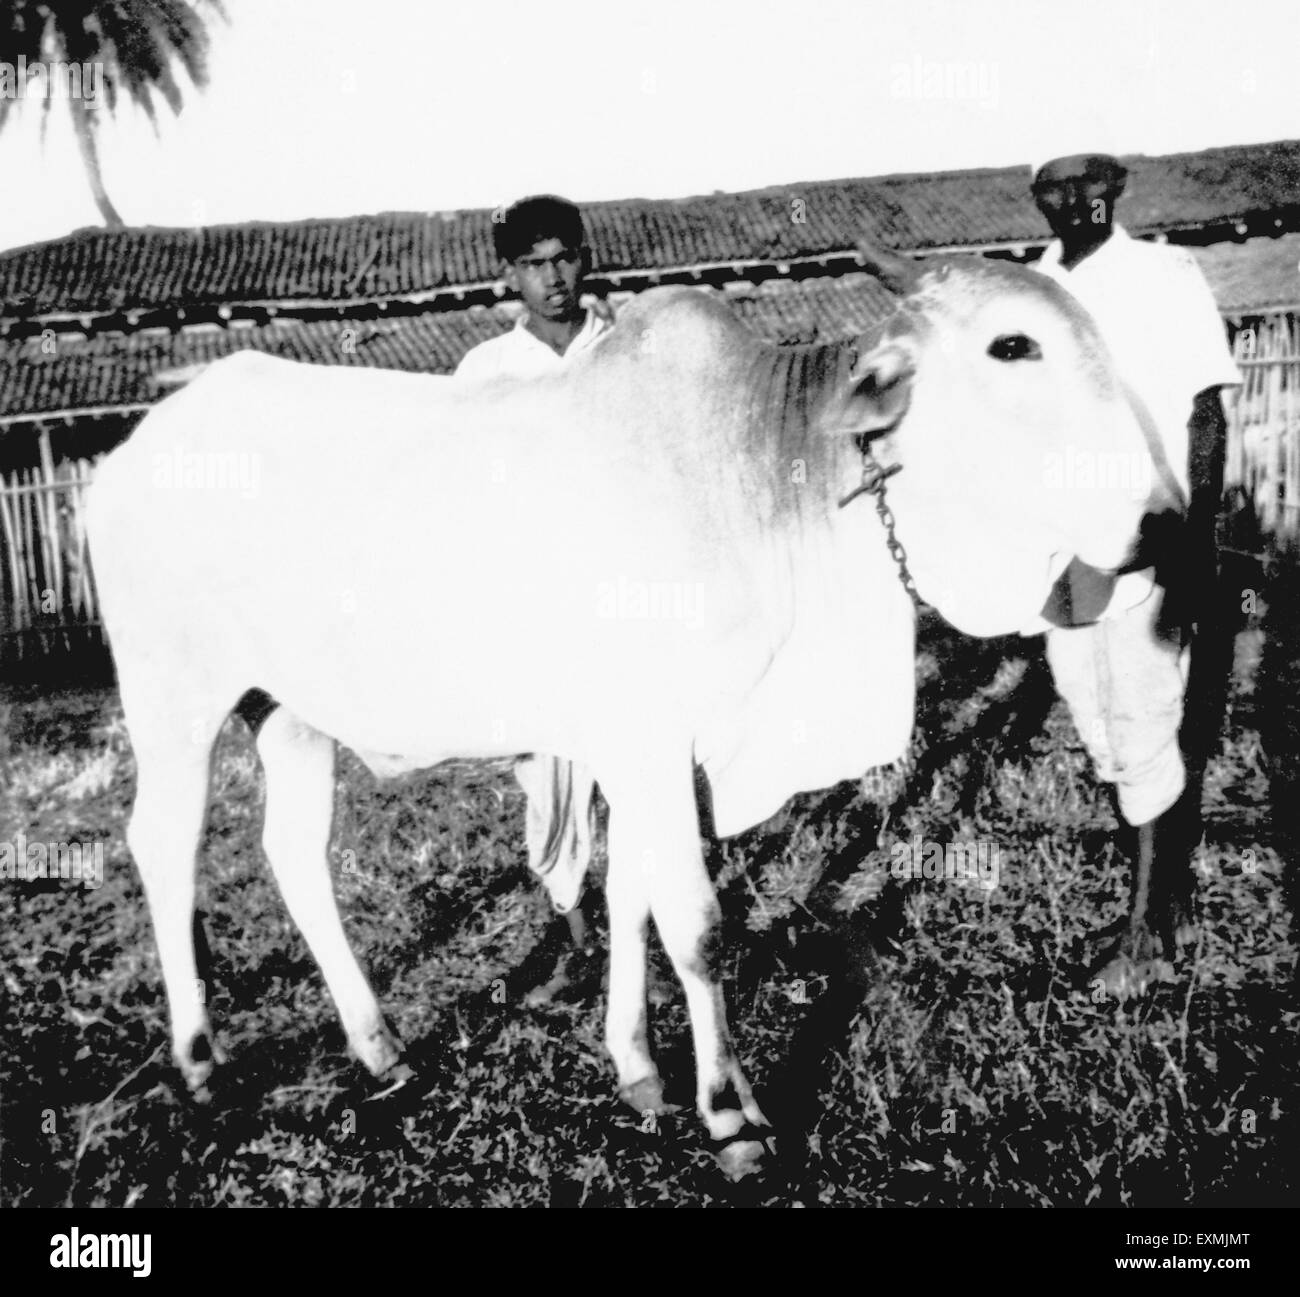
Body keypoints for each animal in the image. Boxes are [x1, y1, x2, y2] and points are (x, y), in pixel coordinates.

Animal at [86, 254, 1158, 1178]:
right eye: (1013, 345)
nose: (1152, 516)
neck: (762, 467)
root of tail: (135, 446)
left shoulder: (646, 746)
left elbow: (631, 899)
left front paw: (640, 1068)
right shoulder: (647, 740)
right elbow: (695, 922)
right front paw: (732, 1116)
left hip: (287, 708)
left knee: (295, 850)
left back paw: (380, 1047)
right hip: (174, 694)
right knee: (164, 842)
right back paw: (200, 1062)